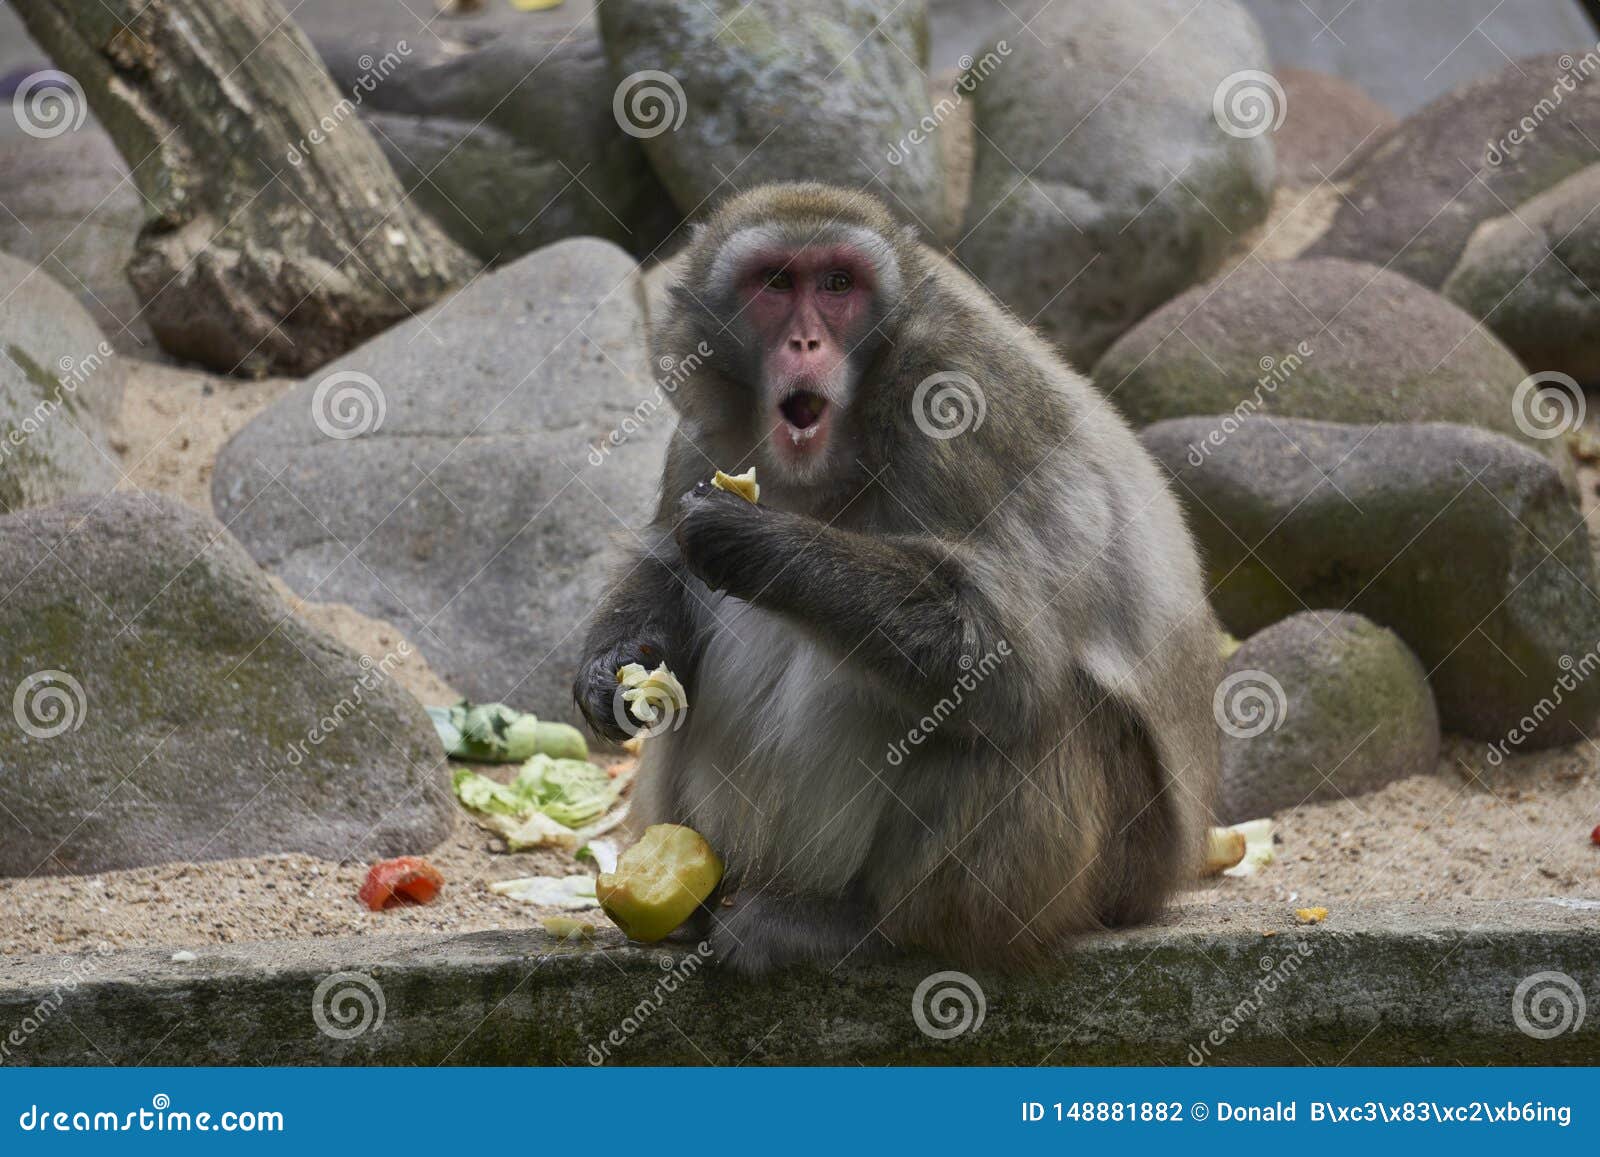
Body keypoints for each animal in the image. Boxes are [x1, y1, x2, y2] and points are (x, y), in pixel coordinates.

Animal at [574, 183, 1221, 974]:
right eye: (776, 283)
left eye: (838, 284)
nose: (806, 343)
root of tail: (1162, 885)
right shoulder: (700, 442)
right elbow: (668, 564)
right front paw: (613, 662)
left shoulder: (958, 405)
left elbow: (1003, 649)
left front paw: (759, 542)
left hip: (1112, 869)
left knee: (1037, 707)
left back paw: (859, 926)